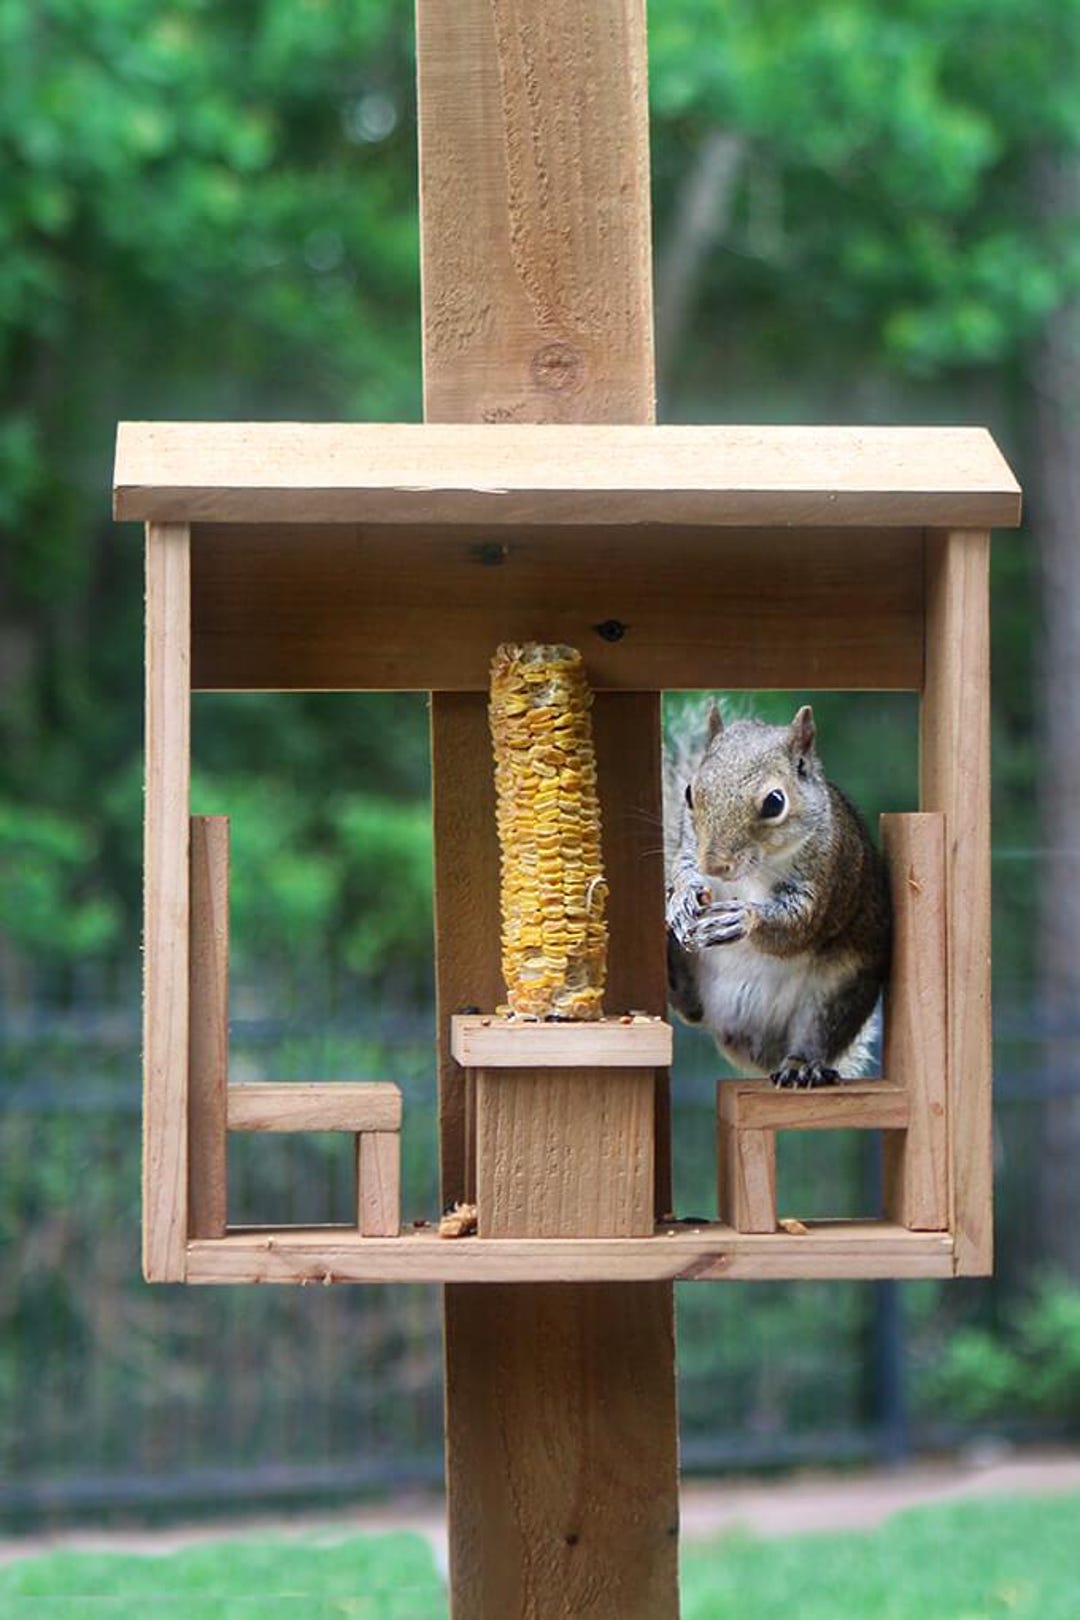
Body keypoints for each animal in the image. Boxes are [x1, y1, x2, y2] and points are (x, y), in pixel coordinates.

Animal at [665, 703, 891, 1088]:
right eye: (690, 793)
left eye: (775, 802)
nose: (714, 866)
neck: (751, 874)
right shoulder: (689, 850)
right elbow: (682, 871)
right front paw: (680, 900)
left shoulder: (826, 873)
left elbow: (795, 926)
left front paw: (743, 918)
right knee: (688, 1006)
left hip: (835, 993)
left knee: (815, 1036)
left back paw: (801, 1065)